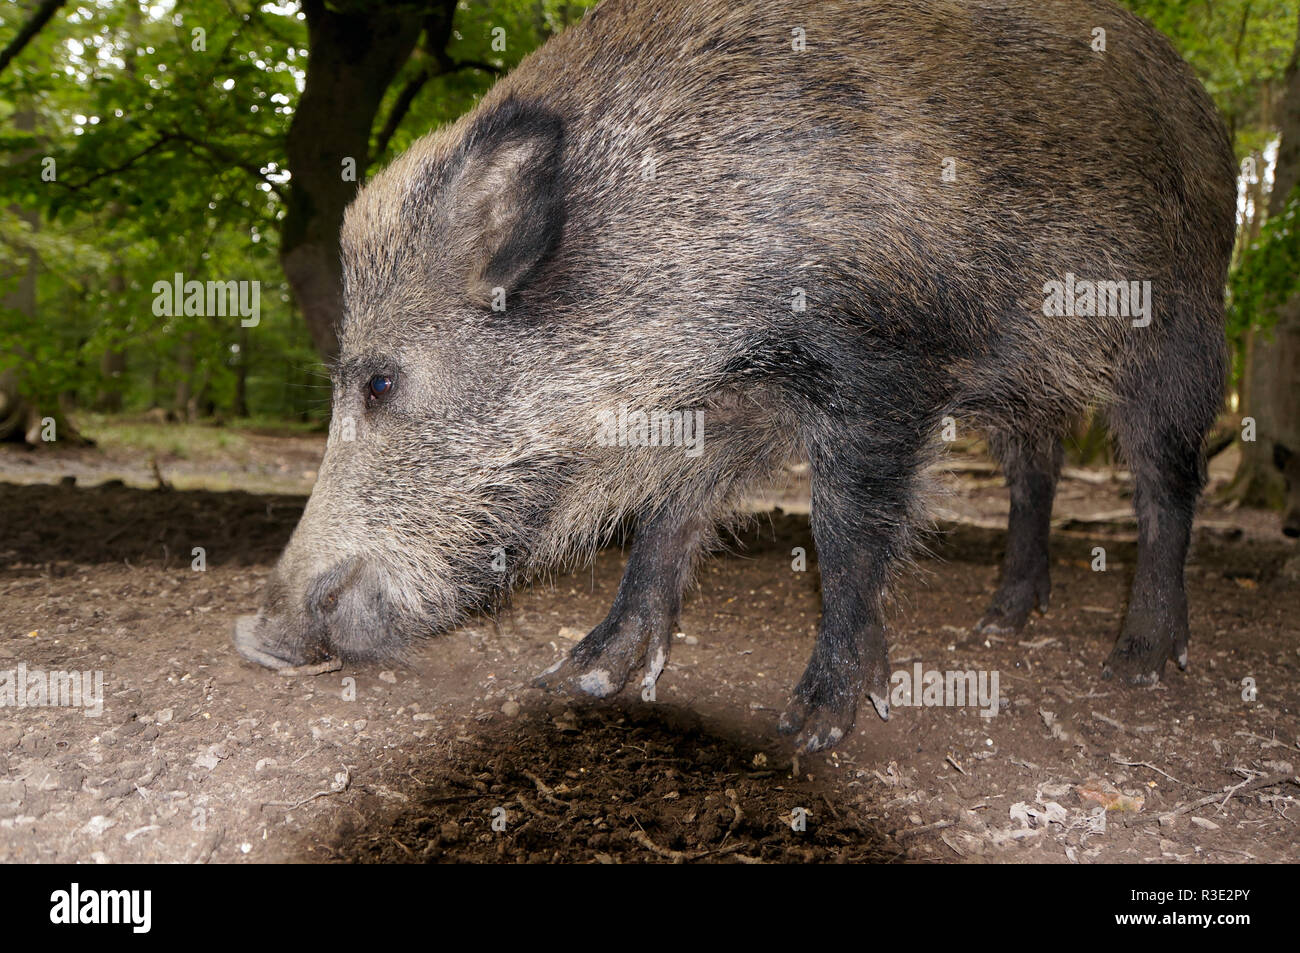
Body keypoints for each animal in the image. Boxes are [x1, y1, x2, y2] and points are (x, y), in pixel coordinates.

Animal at [234, 0, 1236, 752]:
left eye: (380, 384)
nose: (259, 636)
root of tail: (1205, 107)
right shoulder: (728, 402)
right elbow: (667, 523)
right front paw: (579, 676)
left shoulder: (880, 360)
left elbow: (844, 531)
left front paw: (812, 723)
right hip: (1027, 385)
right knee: (1038, 469)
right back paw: (999, 626)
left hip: (1179, 325)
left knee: (1165, 480)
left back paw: (1138, 661)